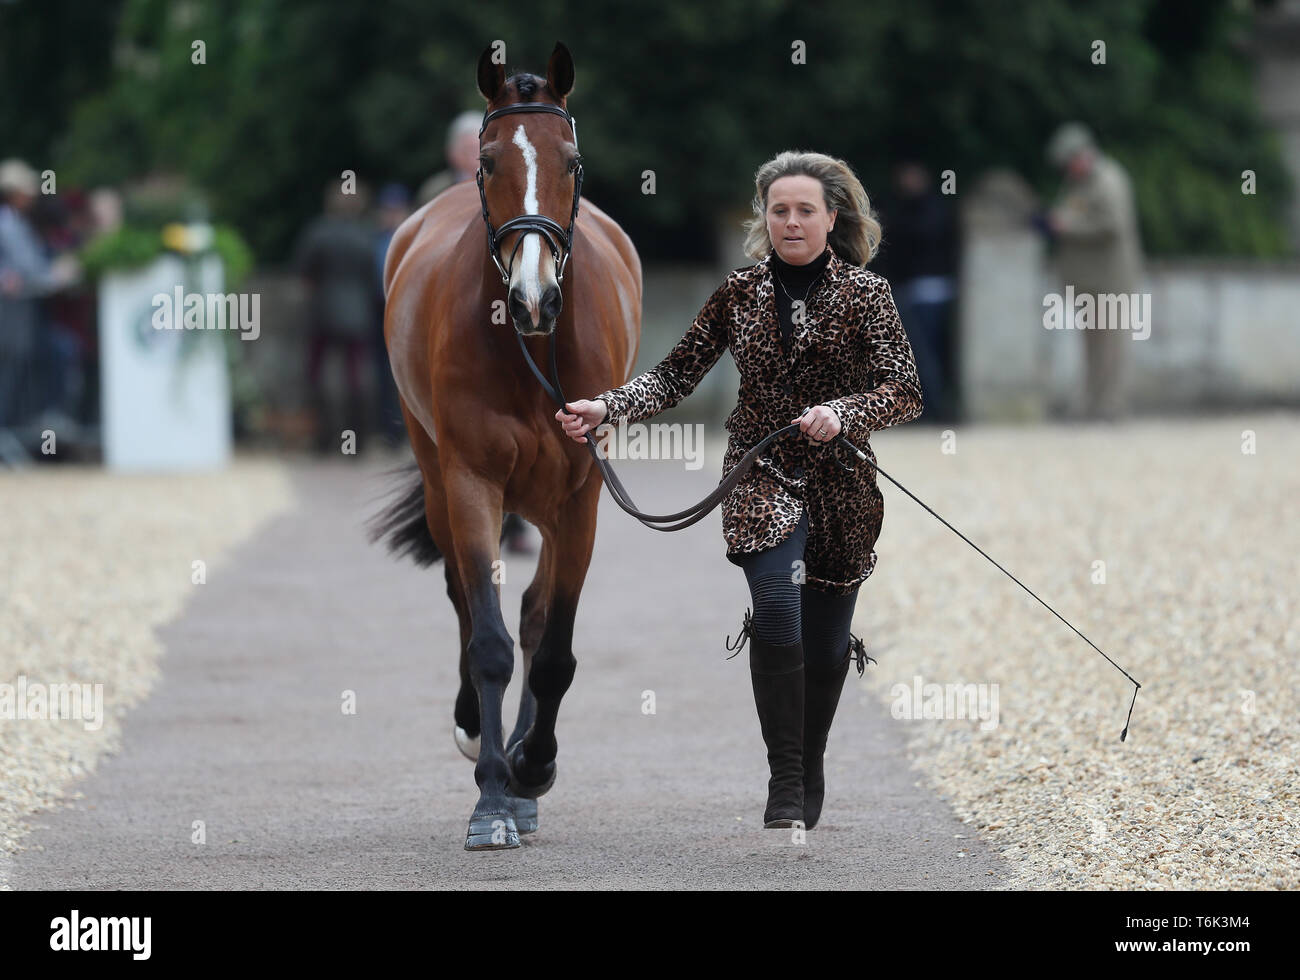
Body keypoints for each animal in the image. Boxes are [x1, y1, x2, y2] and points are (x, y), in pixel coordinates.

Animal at [373, 42, 642, 850]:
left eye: (572, 161)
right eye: (489, 161)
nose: (533, 297)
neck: (528, 354)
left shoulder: (582, 495)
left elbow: (550, 645)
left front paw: (532, 769)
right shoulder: (471, 483)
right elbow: (488, 641)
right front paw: (492, 795)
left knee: (531, 612)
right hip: (441, 479)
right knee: (468, 601)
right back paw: (481, 738)